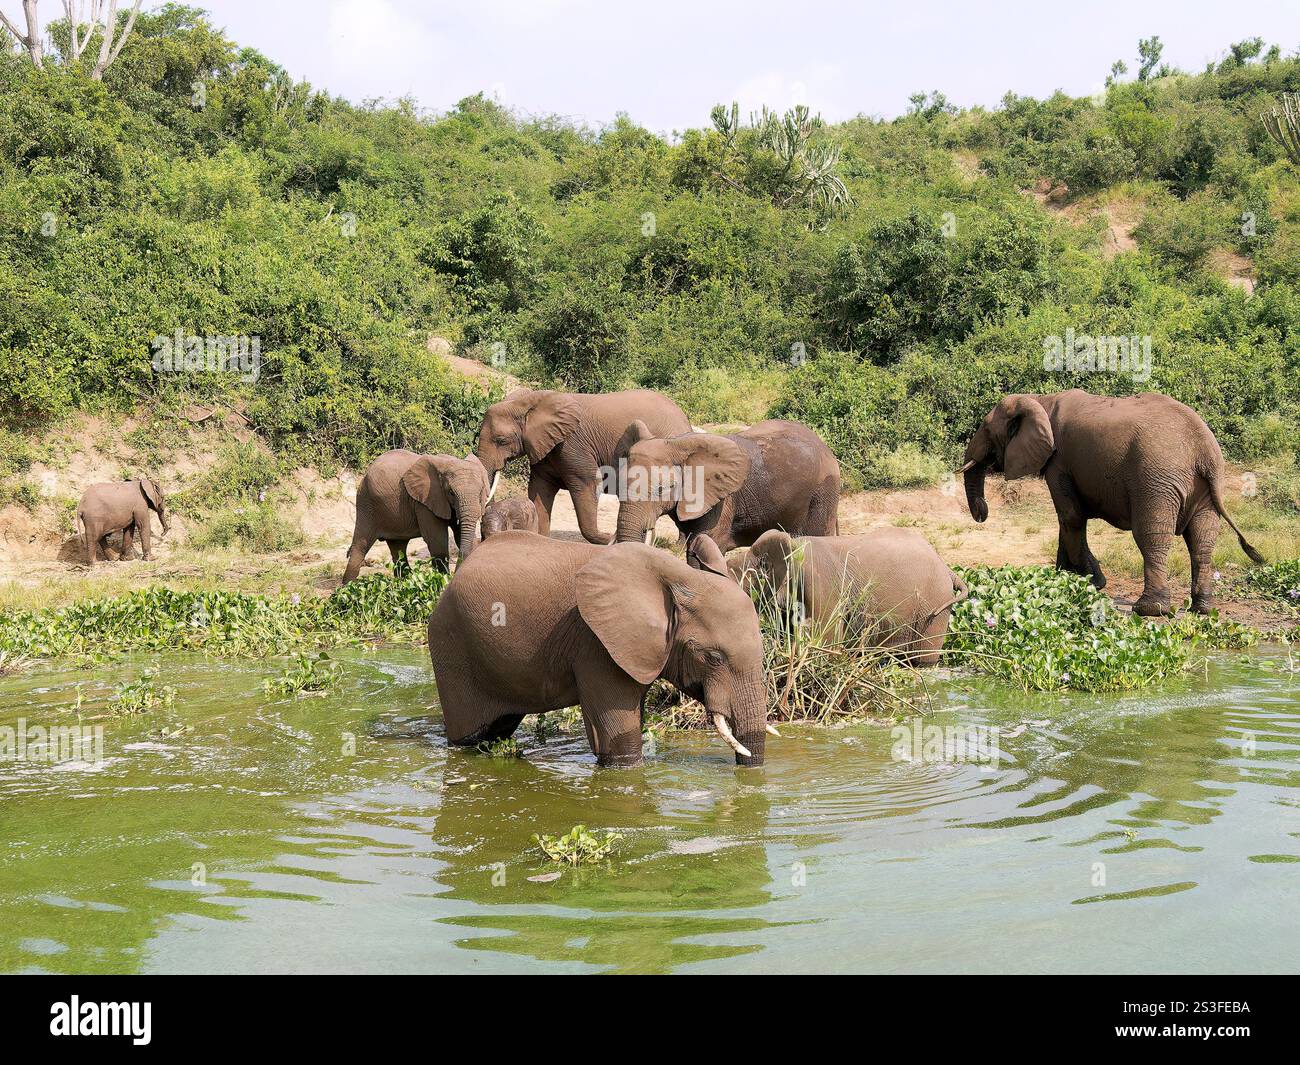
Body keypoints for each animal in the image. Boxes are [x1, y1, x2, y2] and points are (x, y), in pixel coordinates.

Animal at [342, 449, 490, 583]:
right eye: (451, 493)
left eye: (480, 492)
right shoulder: (425, 502)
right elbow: (437, 541)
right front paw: (442, 581)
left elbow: (461, 535)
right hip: (366, 503)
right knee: (361, 545)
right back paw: (347, 588)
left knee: (398, 547)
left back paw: (403, 582)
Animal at [427, 532, 773, 767]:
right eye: (713, 658)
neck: (680, 577)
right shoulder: (595, 643)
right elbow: (621, 738)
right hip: (451, 645)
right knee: (469, 735)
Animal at [474, 388, 692, 545]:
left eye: (501, 441)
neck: (530, 400)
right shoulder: (546, 447)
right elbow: (539, 490)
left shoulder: (572, 446)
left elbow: (588, 484)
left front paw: (606, 538)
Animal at [961, 390, 1264, 616]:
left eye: (986, 429)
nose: (982, 512)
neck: (1040, 400)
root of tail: (1204, 447)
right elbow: (1068, 519)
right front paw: (1065, 579)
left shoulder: (1059, 462)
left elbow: (1070, 516)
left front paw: (1091, 582)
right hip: (1205, 485)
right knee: (1202, 538)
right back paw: (1203, 609)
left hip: (1156, 480)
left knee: (1151, 536)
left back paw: (1150, 610)